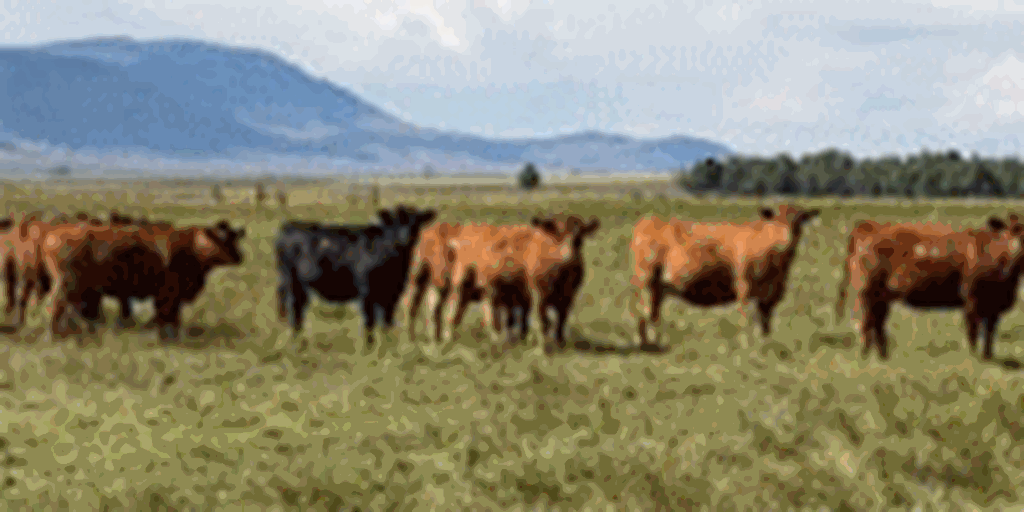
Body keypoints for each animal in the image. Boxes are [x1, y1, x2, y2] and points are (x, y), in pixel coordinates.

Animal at [39, 219, 246, 340]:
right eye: (222, 238)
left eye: (235, 238)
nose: (239, 256)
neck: (191, 246)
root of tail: (51, 235)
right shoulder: (168, 295)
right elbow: (166, 318)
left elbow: (171, 319)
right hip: (66, 285)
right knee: (54, 307)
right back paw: (54, 337)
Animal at [275, 205, 437, 348]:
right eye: (394, 222)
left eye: (416, 222)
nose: (406, 237)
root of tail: (290, 226)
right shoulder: (367, 293)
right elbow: (369, 323)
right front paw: (368, 348)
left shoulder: (393, 295)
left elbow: (387, 322)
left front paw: (387, 346)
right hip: (289, 278)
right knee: (293, 307)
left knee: (298, 307)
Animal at [629, 204, 821, 350]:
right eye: (776, 221)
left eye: (799, 221)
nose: (787, 239)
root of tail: (648, 219)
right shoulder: (743, 286)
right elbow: (745, 318)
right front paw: (746, 345)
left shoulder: (771, 294)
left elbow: (766, 323)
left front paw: (765, 343)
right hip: (644, 280)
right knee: (640, 313)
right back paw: (645, 345)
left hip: (657, 288)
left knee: (652, 314)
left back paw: (654, 343)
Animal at [842, 215, 1024, 360]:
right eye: (1012, 232)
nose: (1019, 250)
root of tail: (870, 226)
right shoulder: (971, 300)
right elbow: (973, 332)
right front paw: (974, 359)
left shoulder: (994, 306)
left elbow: (990, 334)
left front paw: (988, 357)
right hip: (866, 293)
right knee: (866, 324)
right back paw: (864, 359)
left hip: (881, 296)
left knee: (878, 324)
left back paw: (883, 358)